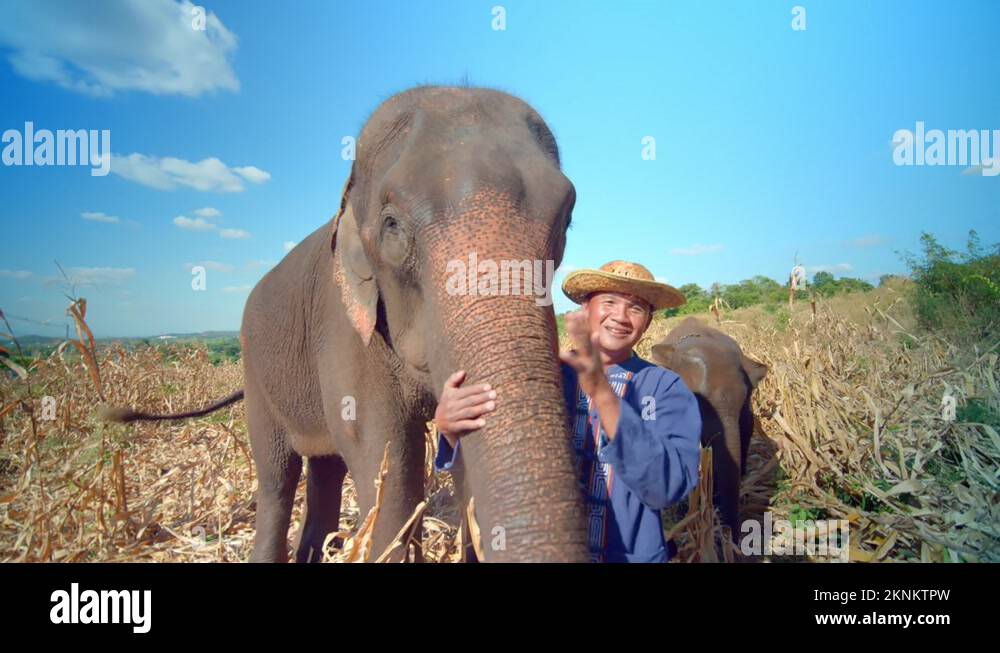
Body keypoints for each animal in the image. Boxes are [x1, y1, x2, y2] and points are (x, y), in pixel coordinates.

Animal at [103, 86, 589, 563]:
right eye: (392, 225)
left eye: (566, 221)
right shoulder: (346, 325)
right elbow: (384, 457)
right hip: (257, 373)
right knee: (277, 474)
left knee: (326, 465)